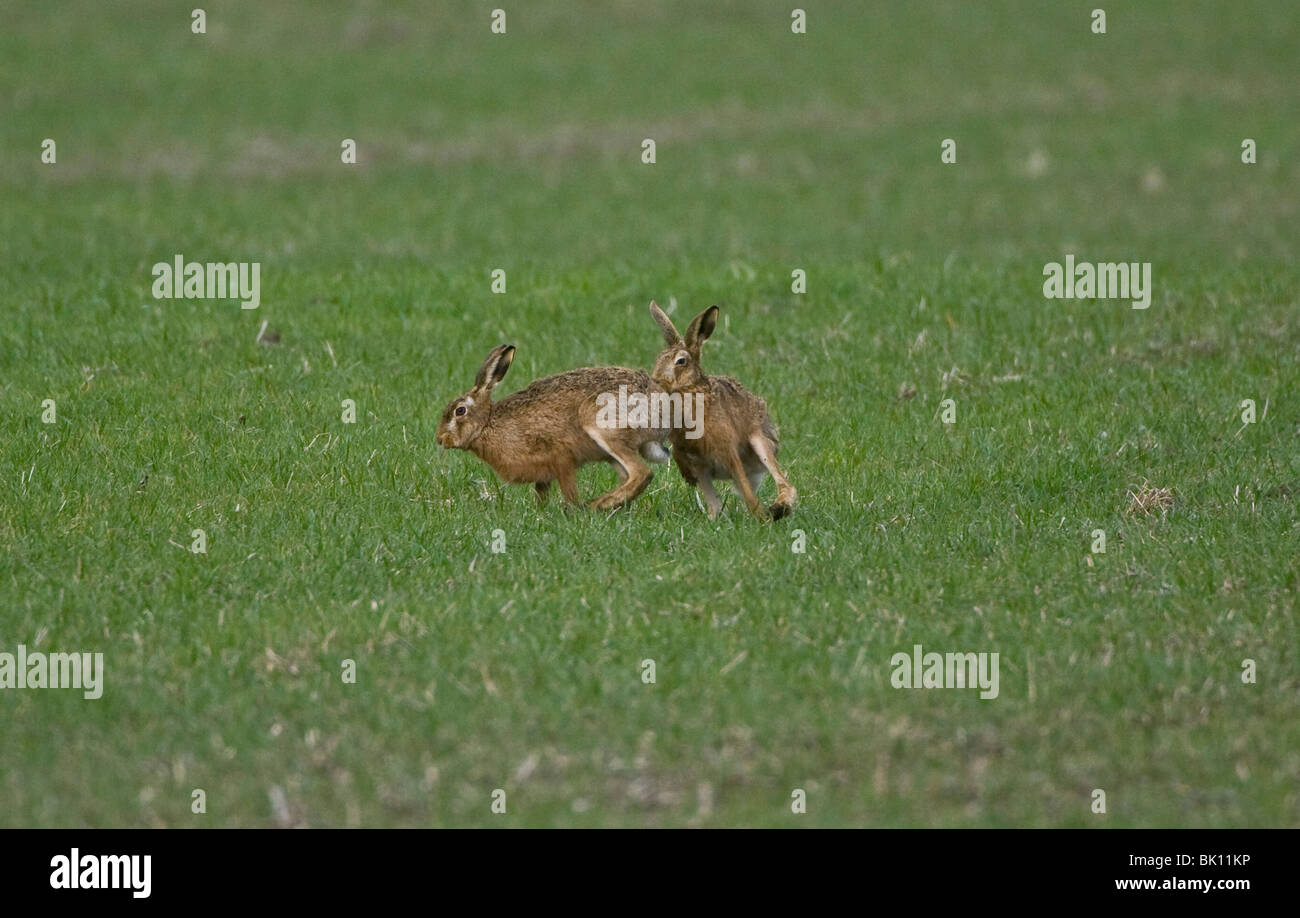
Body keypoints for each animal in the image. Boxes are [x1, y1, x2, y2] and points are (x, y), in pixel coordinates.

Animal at [436, 344, 670, 510]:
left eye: (459, 411)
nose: (439, 439)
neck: (486, 424)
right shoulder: (543, 473)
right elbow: (541, 492)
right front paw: (540, 512)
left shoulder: (561, 458)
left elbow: (568, 489)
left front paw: (571, 509)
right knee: (628, 476)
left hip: (602, 427)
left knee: (642, 473)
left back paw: (596, 505)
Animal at [647, 302, 796, 519]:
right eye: (658, 358)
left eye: (681, 361)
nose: (656, 381)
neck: (691, 389)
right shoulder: (687, 451)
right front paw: (687, 477)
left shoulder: (726, 448)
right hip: (705, 469)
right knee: (716, 505)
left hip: (759, 443)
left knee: (779, 485)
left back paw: (774, 510)